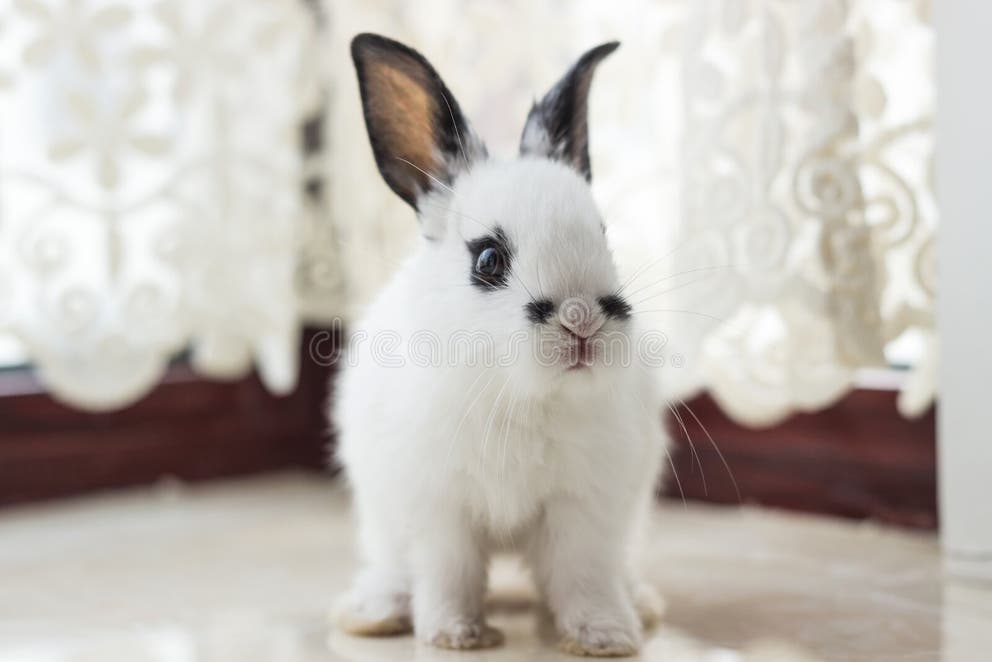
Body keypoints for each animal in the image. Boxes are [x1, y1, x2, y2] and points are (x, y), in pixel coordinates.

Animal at [331, 33, 668, 657]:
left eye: (602, 235)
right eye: (489, 260)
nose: (582, 319)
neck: (522, 395)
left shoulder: (584, 507)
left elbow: (585, 576)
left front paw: (605, 636)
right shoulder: (439, 509)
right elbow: (449, 574)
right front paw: (454, 635)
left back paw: (643, 604)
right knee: (393, 568)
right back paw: (373, 614)